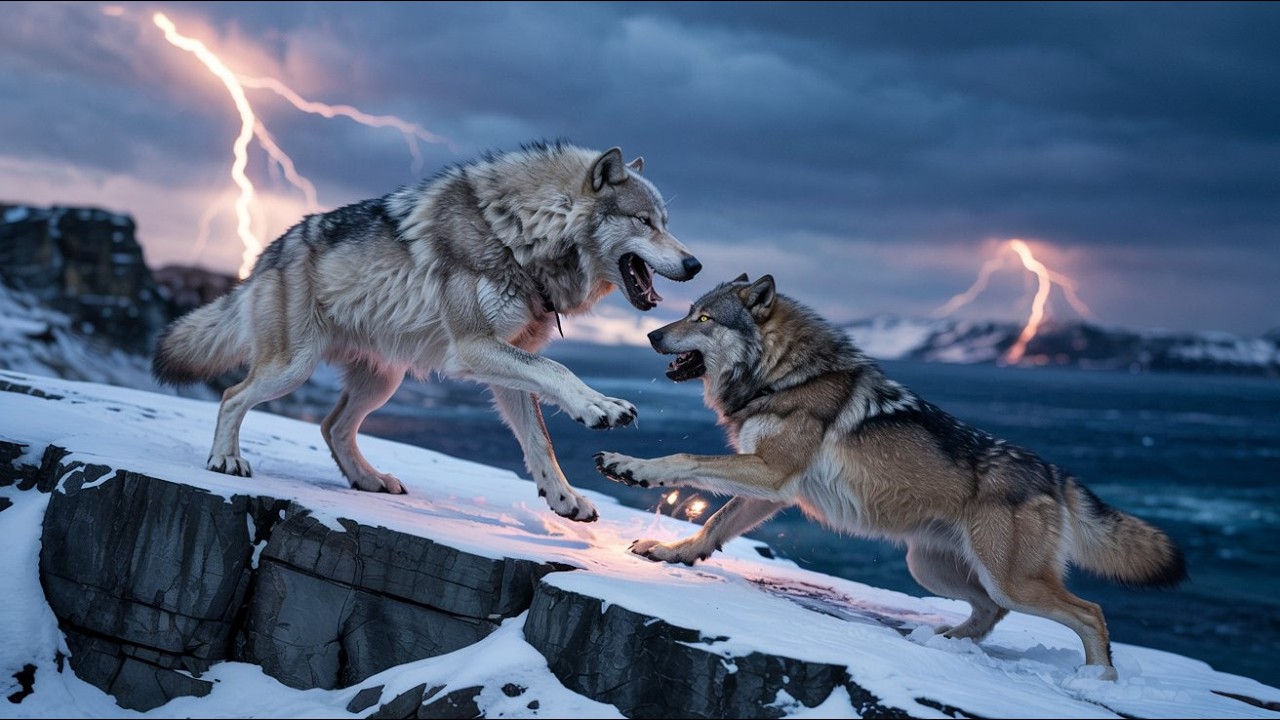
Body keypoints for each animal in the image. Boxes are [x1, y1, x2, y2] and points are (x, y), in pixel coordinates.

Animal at [153, 141, 701, 522]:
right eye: (645, 222)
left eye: (667, 222)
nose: (695, 264)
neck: (524, 235)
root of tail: (269, 252)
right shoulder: (474, 349)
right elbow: (558, 369)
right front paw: (601, 406)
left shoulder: (507, 362)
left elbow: (539, 441)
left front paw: (565, 500)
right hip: (293, 368)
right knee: (233, 396)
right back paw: (226, 459)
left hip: (383, 381)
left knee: (332, 426)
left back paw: (369, 480)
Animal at [595, 273, 1186, 679]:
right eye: (689, 311)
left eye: (704, 319)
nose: (651, 333)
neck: (782, 375)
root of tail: (1054, 473)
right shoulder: (773, 489)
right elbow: (713, 525)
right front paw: (673, 555)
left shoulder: (770, 472)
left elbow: (683, 461)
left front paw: (630, 467)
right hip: (930, 567)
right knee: (991, 611)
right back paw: (945, 642)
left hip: (1009, 580)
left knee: (1091, 612)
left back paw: (1098, 680)